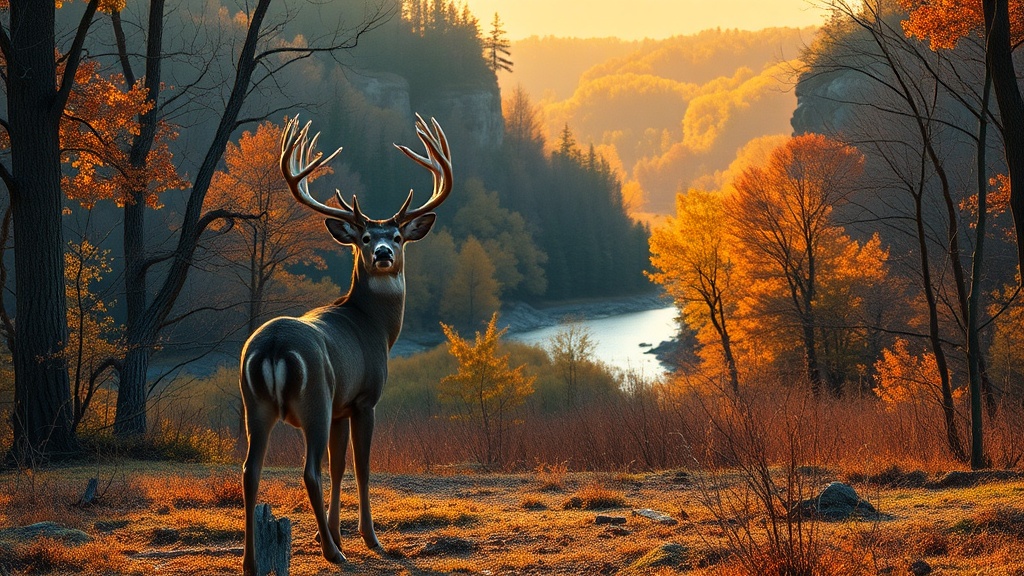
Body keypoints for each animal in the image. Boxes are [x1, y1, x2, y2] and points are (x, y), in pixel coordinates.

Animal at [239, 114, 452, 574]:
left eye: (397, 236)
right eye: (365, 238)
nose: (385, 252)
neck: (374, 328)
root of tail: (273, 348)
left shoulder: (341, 407)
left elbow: (340, 467)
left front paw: (334, 532)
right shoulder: (364, 398)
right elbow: (361, 466)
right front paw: (369, 539)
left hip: (255, 404)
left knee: (251, 469)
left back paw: (251, 560)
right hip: (314, 398)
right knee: (309, 470)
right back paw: (333, 555)